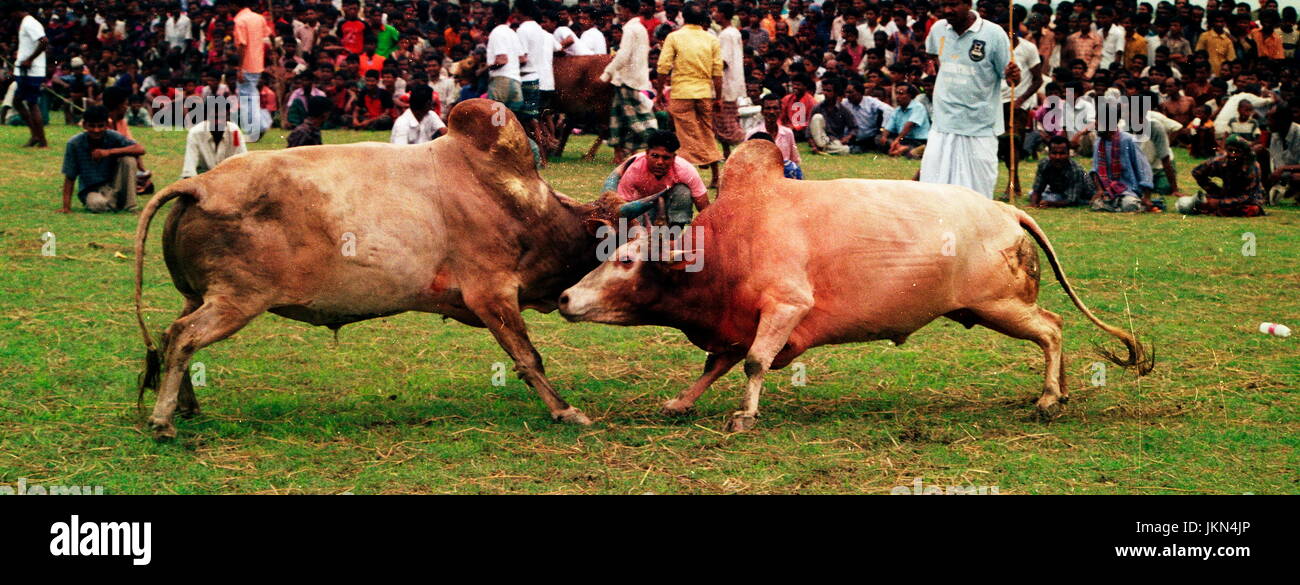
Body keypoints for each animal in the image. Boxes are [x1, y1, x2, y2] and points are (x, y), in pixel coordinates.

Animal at [133, 99, 621, 440]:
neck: (524, 205)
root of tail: (199, 185)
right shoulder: (492, 292)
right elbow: (527, 357)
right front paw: (566, 410)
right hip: (235, 300)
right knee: (183, 337)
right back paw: (163, 421)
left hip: (200, 296)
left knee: (170, 334)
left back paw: (186, 407)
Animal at [558, 140, 1154, 432]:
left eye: (628, 259)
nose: (564, 297)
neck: (727, 246)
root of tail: (1007, 209)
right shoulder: (737, 322)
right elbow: (715, 364)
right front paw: (681, 402)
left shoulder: (785, 308)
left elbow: (752, 362)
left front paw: (745, 416)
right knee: (1053, 328)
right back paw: (1062, 391)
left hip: (998, 305)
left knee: (1051, 328)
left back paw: (1050, 398)